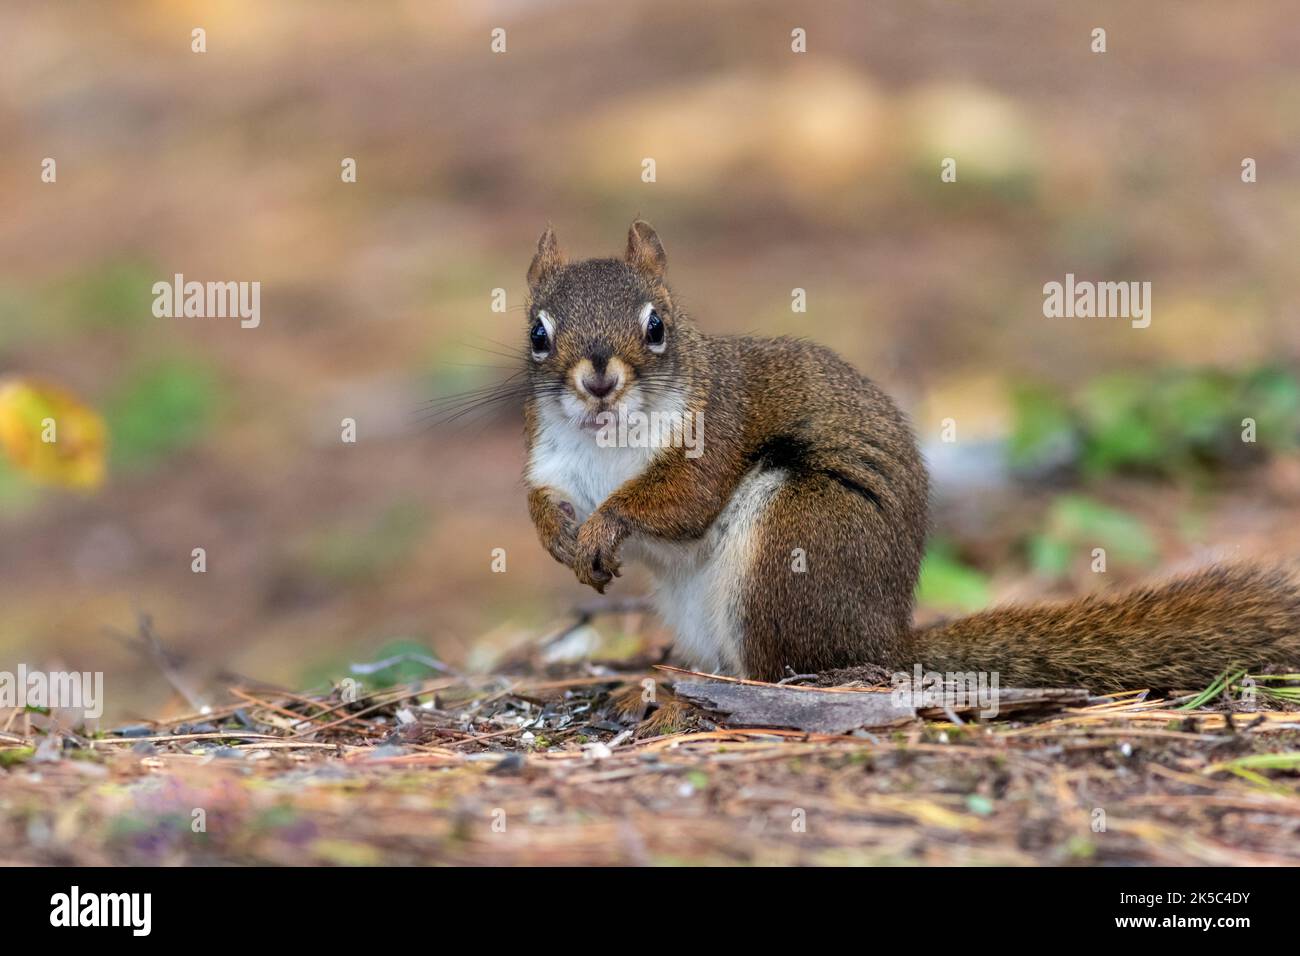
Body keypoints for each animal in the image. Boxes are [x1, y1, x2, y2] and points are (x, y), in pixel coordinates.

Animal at [522, 220, 1300, 691]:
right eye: (537, 332)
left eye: (657, 326)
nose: (598, 378)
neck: (606, 438)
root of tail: (884, 640)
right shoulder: (553, 458)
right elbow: (542, 500)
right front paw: (561, 539)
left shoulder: (716, 431)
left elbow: (681, 499)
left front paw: (606, 524)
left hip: (797, 533)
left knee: (785, 664)